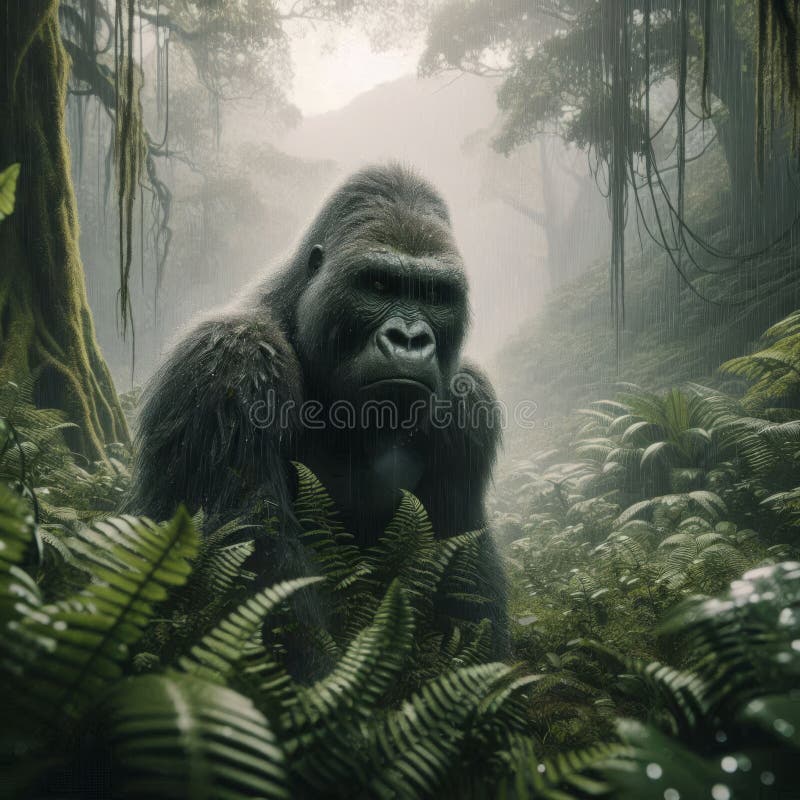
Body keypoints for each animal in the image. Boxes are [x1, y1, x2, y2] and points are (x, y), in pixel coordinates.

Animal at [130, 164, 508, 658]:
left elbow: (463, 565)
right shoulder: (232, 360)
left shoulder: (470, 402)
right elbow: (254, 559)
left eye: (435, 294)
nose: (409, 339)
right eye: (378, 284)